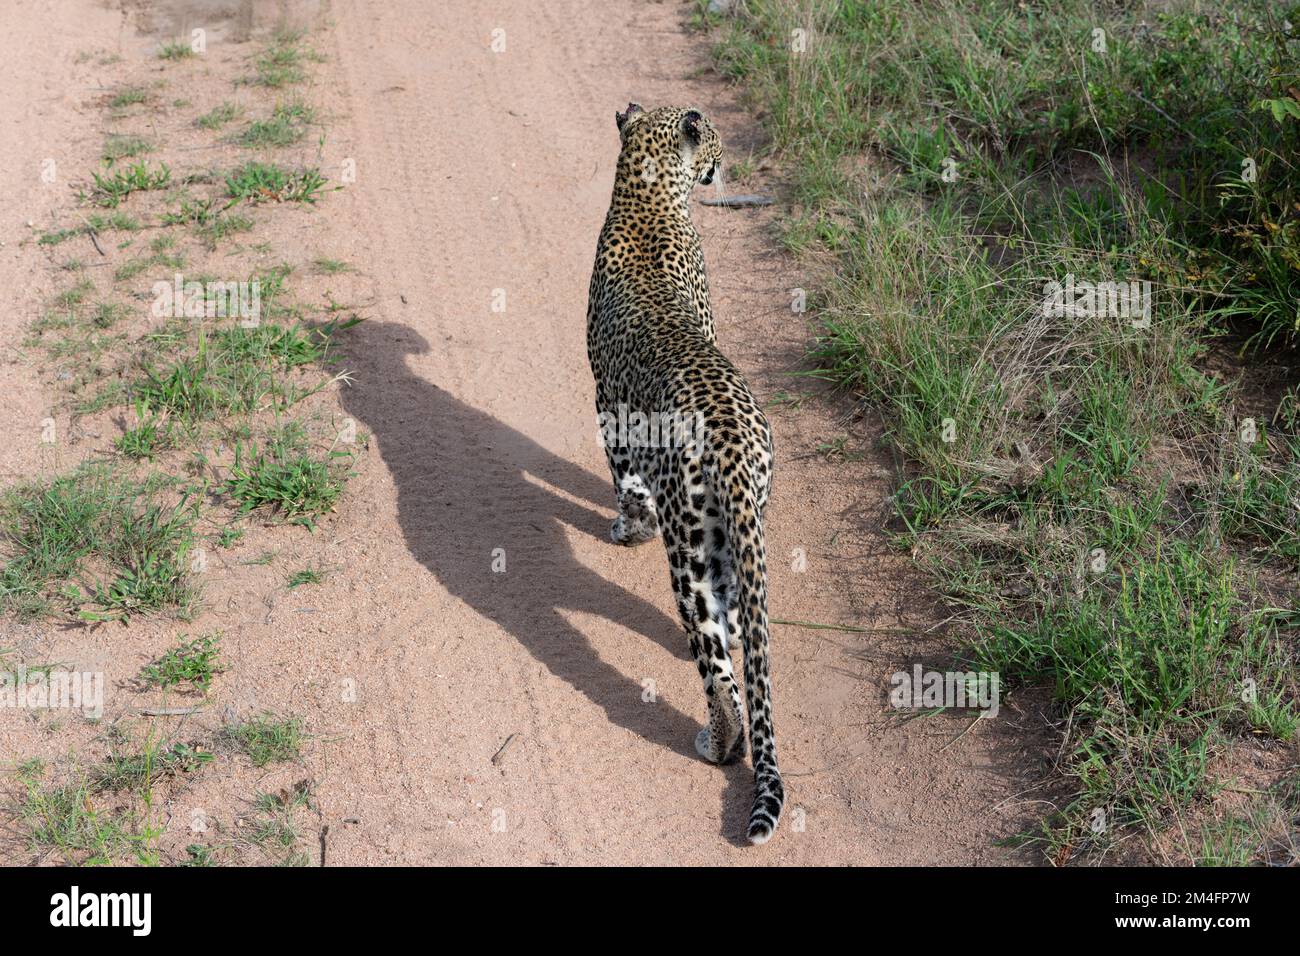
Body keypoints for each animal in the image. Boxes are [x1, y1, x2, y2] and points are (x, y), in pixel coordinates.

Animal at [585, 103, 784, 844]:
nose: (726, 164)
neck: (646, 191)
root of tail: (733, 445)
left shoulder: (608, 406)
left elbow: (625, 484)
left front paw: (625, 530)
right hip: (731, 536)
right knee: (735, 635)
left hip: (692, 550)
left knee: (719, 672)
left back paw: (716, 742)